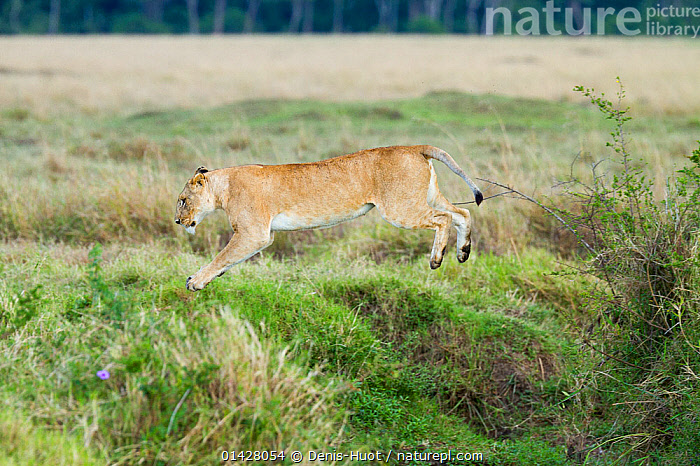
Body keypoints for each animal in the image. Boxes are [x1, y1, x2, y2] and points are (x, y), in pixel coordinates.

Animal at [175, 145, 482, 291]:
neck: (223, 186)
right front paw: (207, 278)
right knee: (462, 212)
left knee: (443, 218)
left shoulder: (254, 233)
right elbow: (229, 259)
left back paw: (437, 258)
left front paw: (195, 281)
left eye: (182, 200)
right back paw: (463, 251)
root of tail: (414, 147)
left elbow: (222, 256)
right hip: (425, 197)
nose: (178, 221)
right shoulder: (258, 236)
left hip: (400, 208)